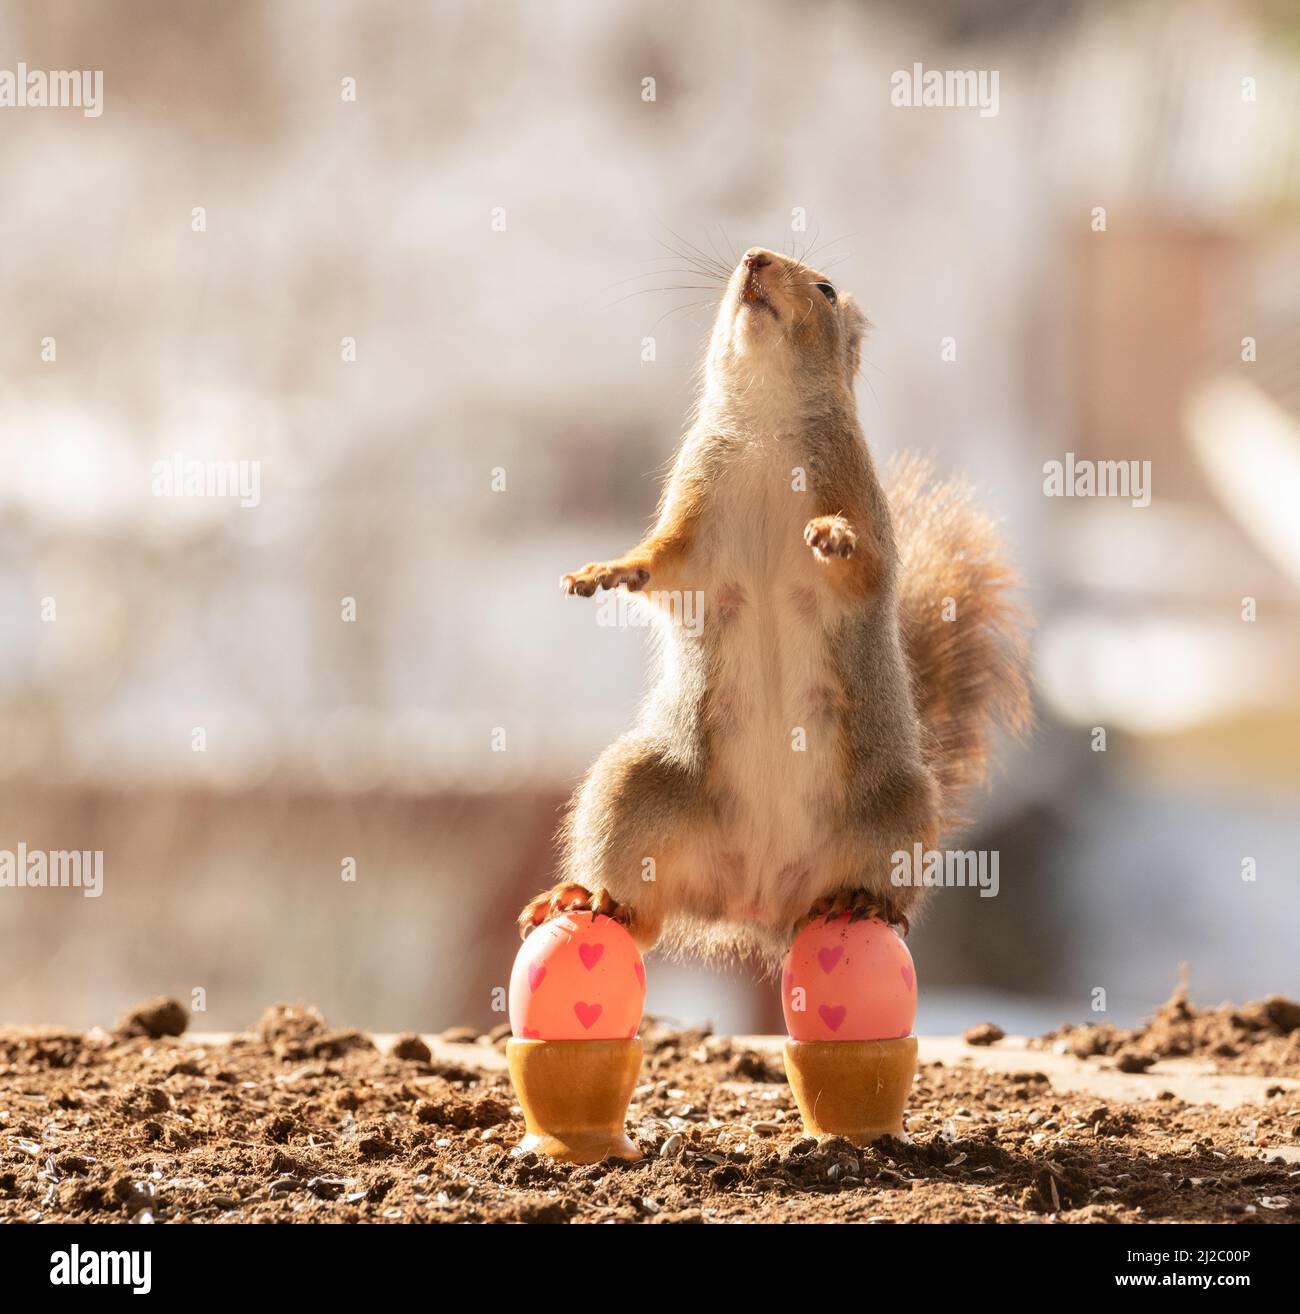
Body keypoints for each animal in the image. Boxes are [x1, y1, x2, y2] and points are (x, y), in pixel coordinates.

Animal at [520, 247, 1030, 963]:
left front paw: (834, 538)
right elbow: (661, 562)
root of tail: (754, 902)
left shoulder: (856, 491)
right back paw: (591, 898)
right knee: (642, 918)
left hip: (896, 814)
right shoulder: (692, 515)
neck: (765, 421)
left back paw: (861, 901)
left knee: (879, 899)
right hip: (635, 790)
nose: (754, 258)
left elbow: (867, 569)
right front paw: (605, 571)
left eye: (827, 288)